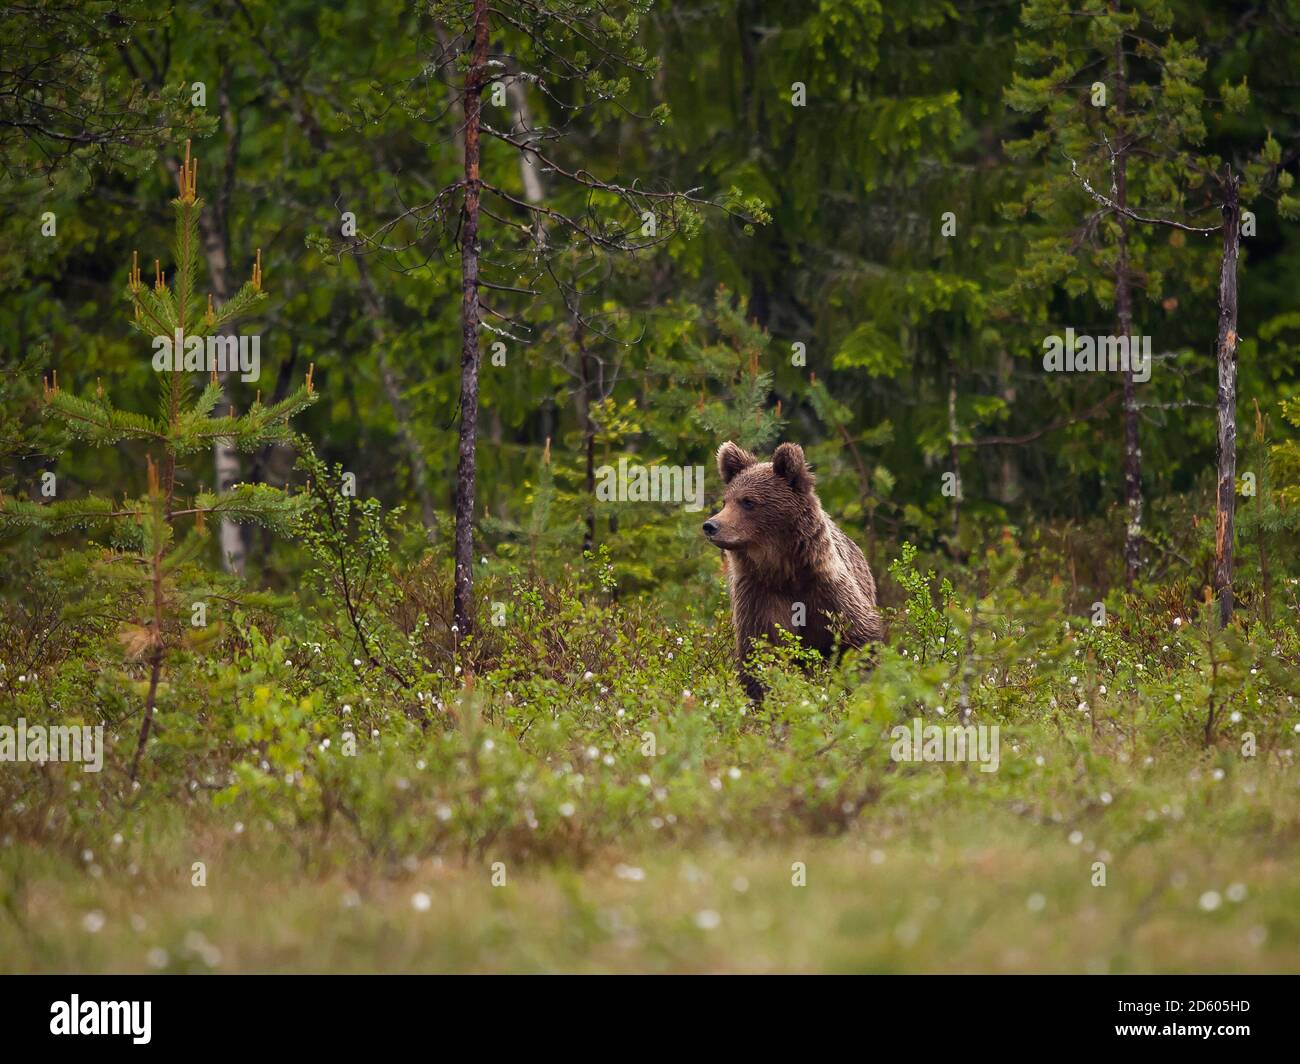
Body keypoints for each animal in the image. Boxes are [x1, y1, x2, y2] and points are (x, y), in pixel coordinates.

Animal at [702, 441, 882, 701]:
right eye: (725, 501)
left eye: (748, 501)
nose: (711, 526)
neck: (785, 571)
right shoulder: (761, 597)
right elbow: (763, 651)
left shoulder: (828, 592)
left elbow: (859, 638)